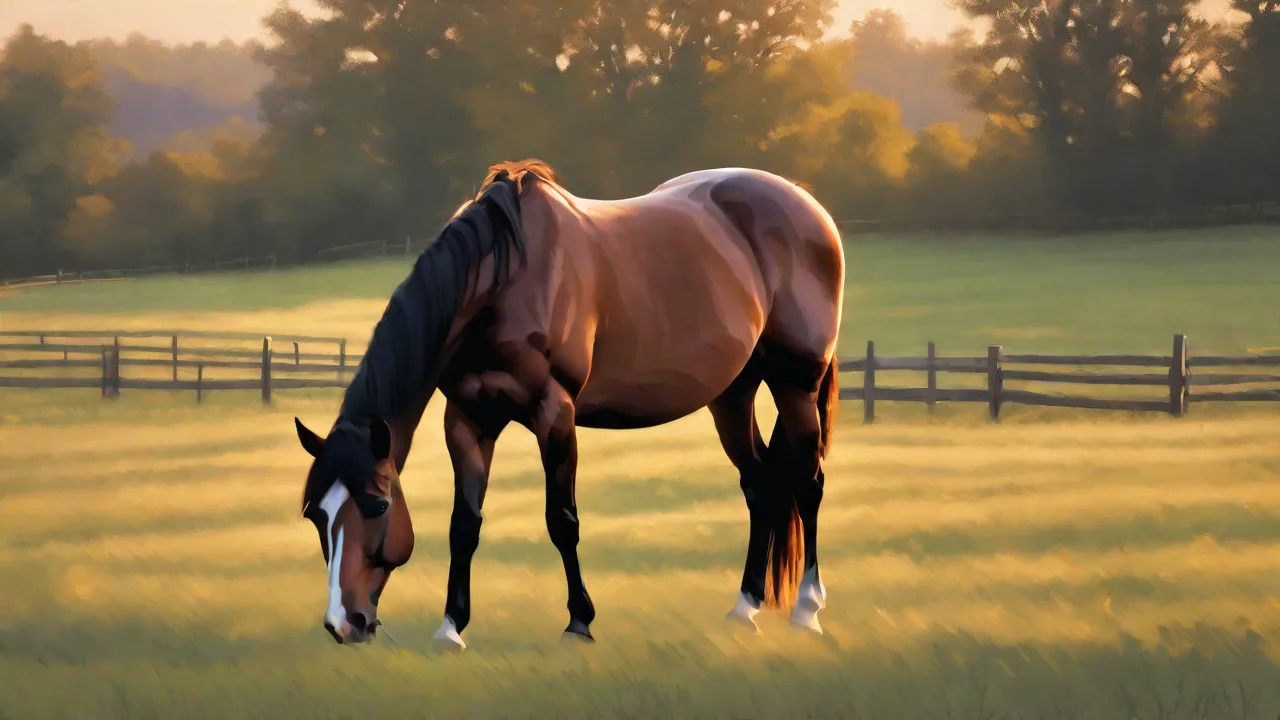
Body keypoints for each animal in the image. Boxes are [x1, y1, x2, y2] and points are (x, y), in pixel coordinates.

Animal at [294, 159, 845, 648]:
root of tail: (810, 207)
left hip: (796, 383)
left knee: (809, 483)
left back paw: (807, 610)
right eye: (315, 515)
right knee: (761, 487)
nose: (343, 624)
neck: (502, 281)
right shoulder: (468, 419)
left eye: (379, 504)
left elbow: (562, 520)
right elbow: (463, 524)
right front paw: (451, 627)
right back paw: (744, 607)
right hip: (732, 394)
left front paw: (579, 623)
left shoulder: (554, 412)